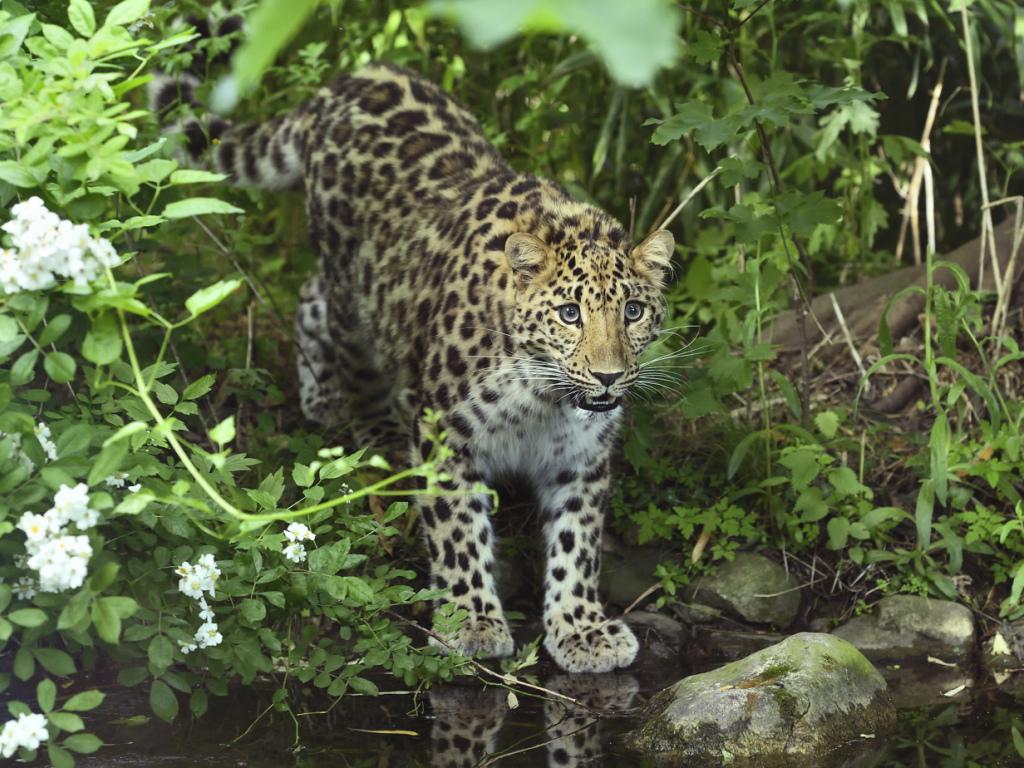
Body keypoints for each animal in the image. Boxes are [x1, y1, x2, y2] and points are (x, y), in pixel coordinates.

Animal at [153, 56, 675, 674]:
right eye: (570, 314)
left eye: (634, 311)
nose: (608, 375)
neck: (543, 400)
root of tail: (345, 82)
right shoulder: (445, 434)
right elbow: (457, 530)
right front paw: (470, 623)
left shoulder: (581, 457)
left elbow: (578, 541)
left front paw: (582, 629)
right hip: (356, 290)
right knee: (340, 329)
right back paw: (361, 424)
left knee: (309, 293)